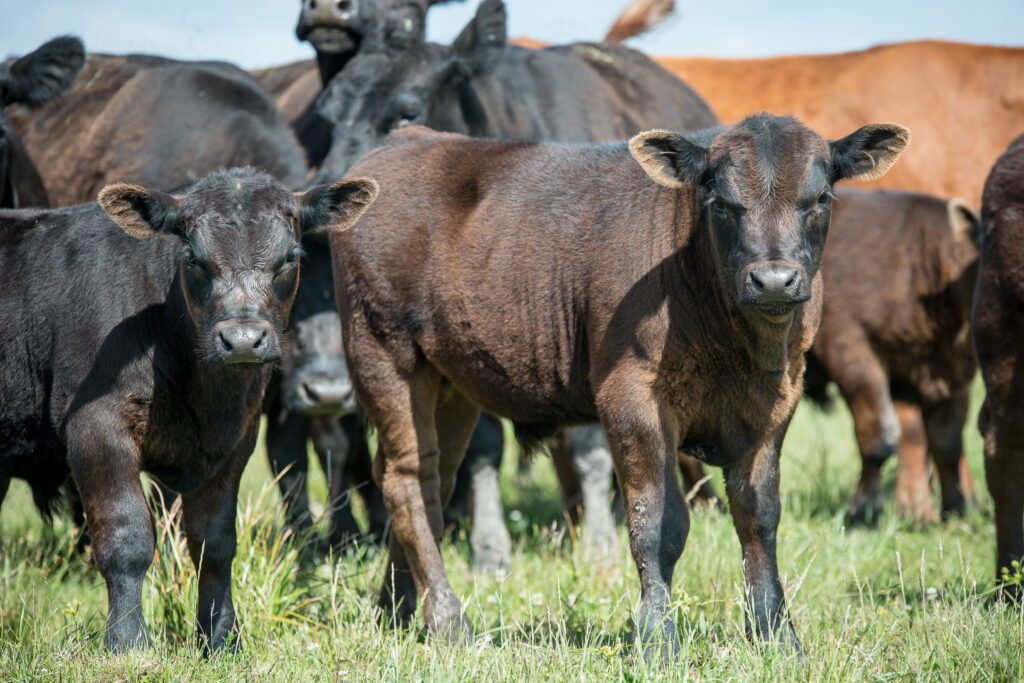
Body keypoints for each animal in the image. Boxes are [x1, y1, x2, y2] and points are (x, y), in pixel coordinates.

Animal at [0, 167, 378, 652]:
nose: (243, 341)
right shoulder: (95, 427)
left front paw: (220, 637)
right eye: (194, 259)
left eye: (290, 258)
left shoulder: (235, 442)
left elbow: (214, 542)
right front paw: (128, 642)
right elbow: (126, 537)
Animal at [332, 116, 910, 656]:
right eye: (722, 203)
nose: (773, 281)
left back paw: (398, 608)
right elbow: (658, 524)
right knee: (407, 481)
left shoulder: (777, 402)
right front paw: (657, 640)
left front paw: (776, 635)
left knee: (433, 479)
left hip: (449, 382)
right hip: (383, 352)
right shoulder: (631, 397)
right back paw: (449, 620)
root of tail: (407, 139)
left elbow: (759, 516)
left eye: (821, 198)